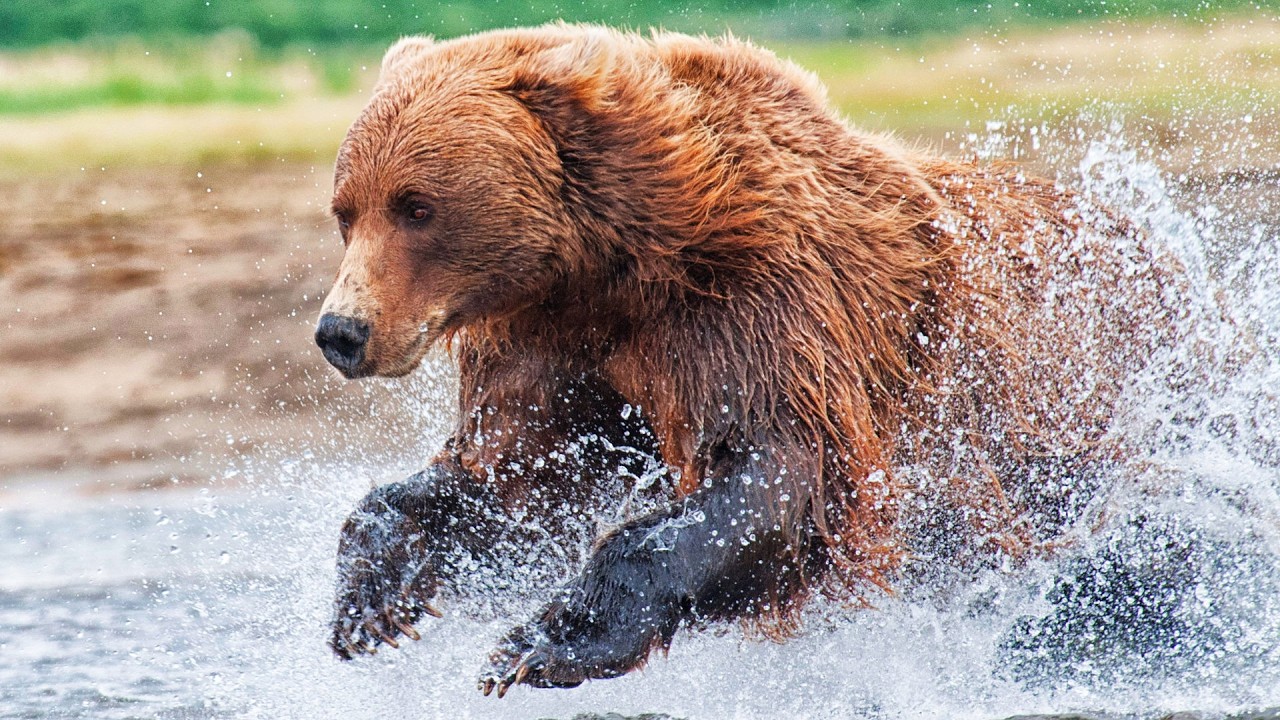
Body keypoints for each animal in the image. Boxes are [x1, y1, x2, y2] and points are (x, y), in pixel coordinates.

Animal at [314, 24, 1176, 696]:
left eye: (417, 206)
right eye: (346, 210)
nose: (341, 331)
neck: (620, 265)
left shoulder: (759, 309)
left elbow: (780, 471)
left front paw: (539, 642)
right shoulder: (553, 348)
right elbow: (515, 482)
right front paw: (371, 605)